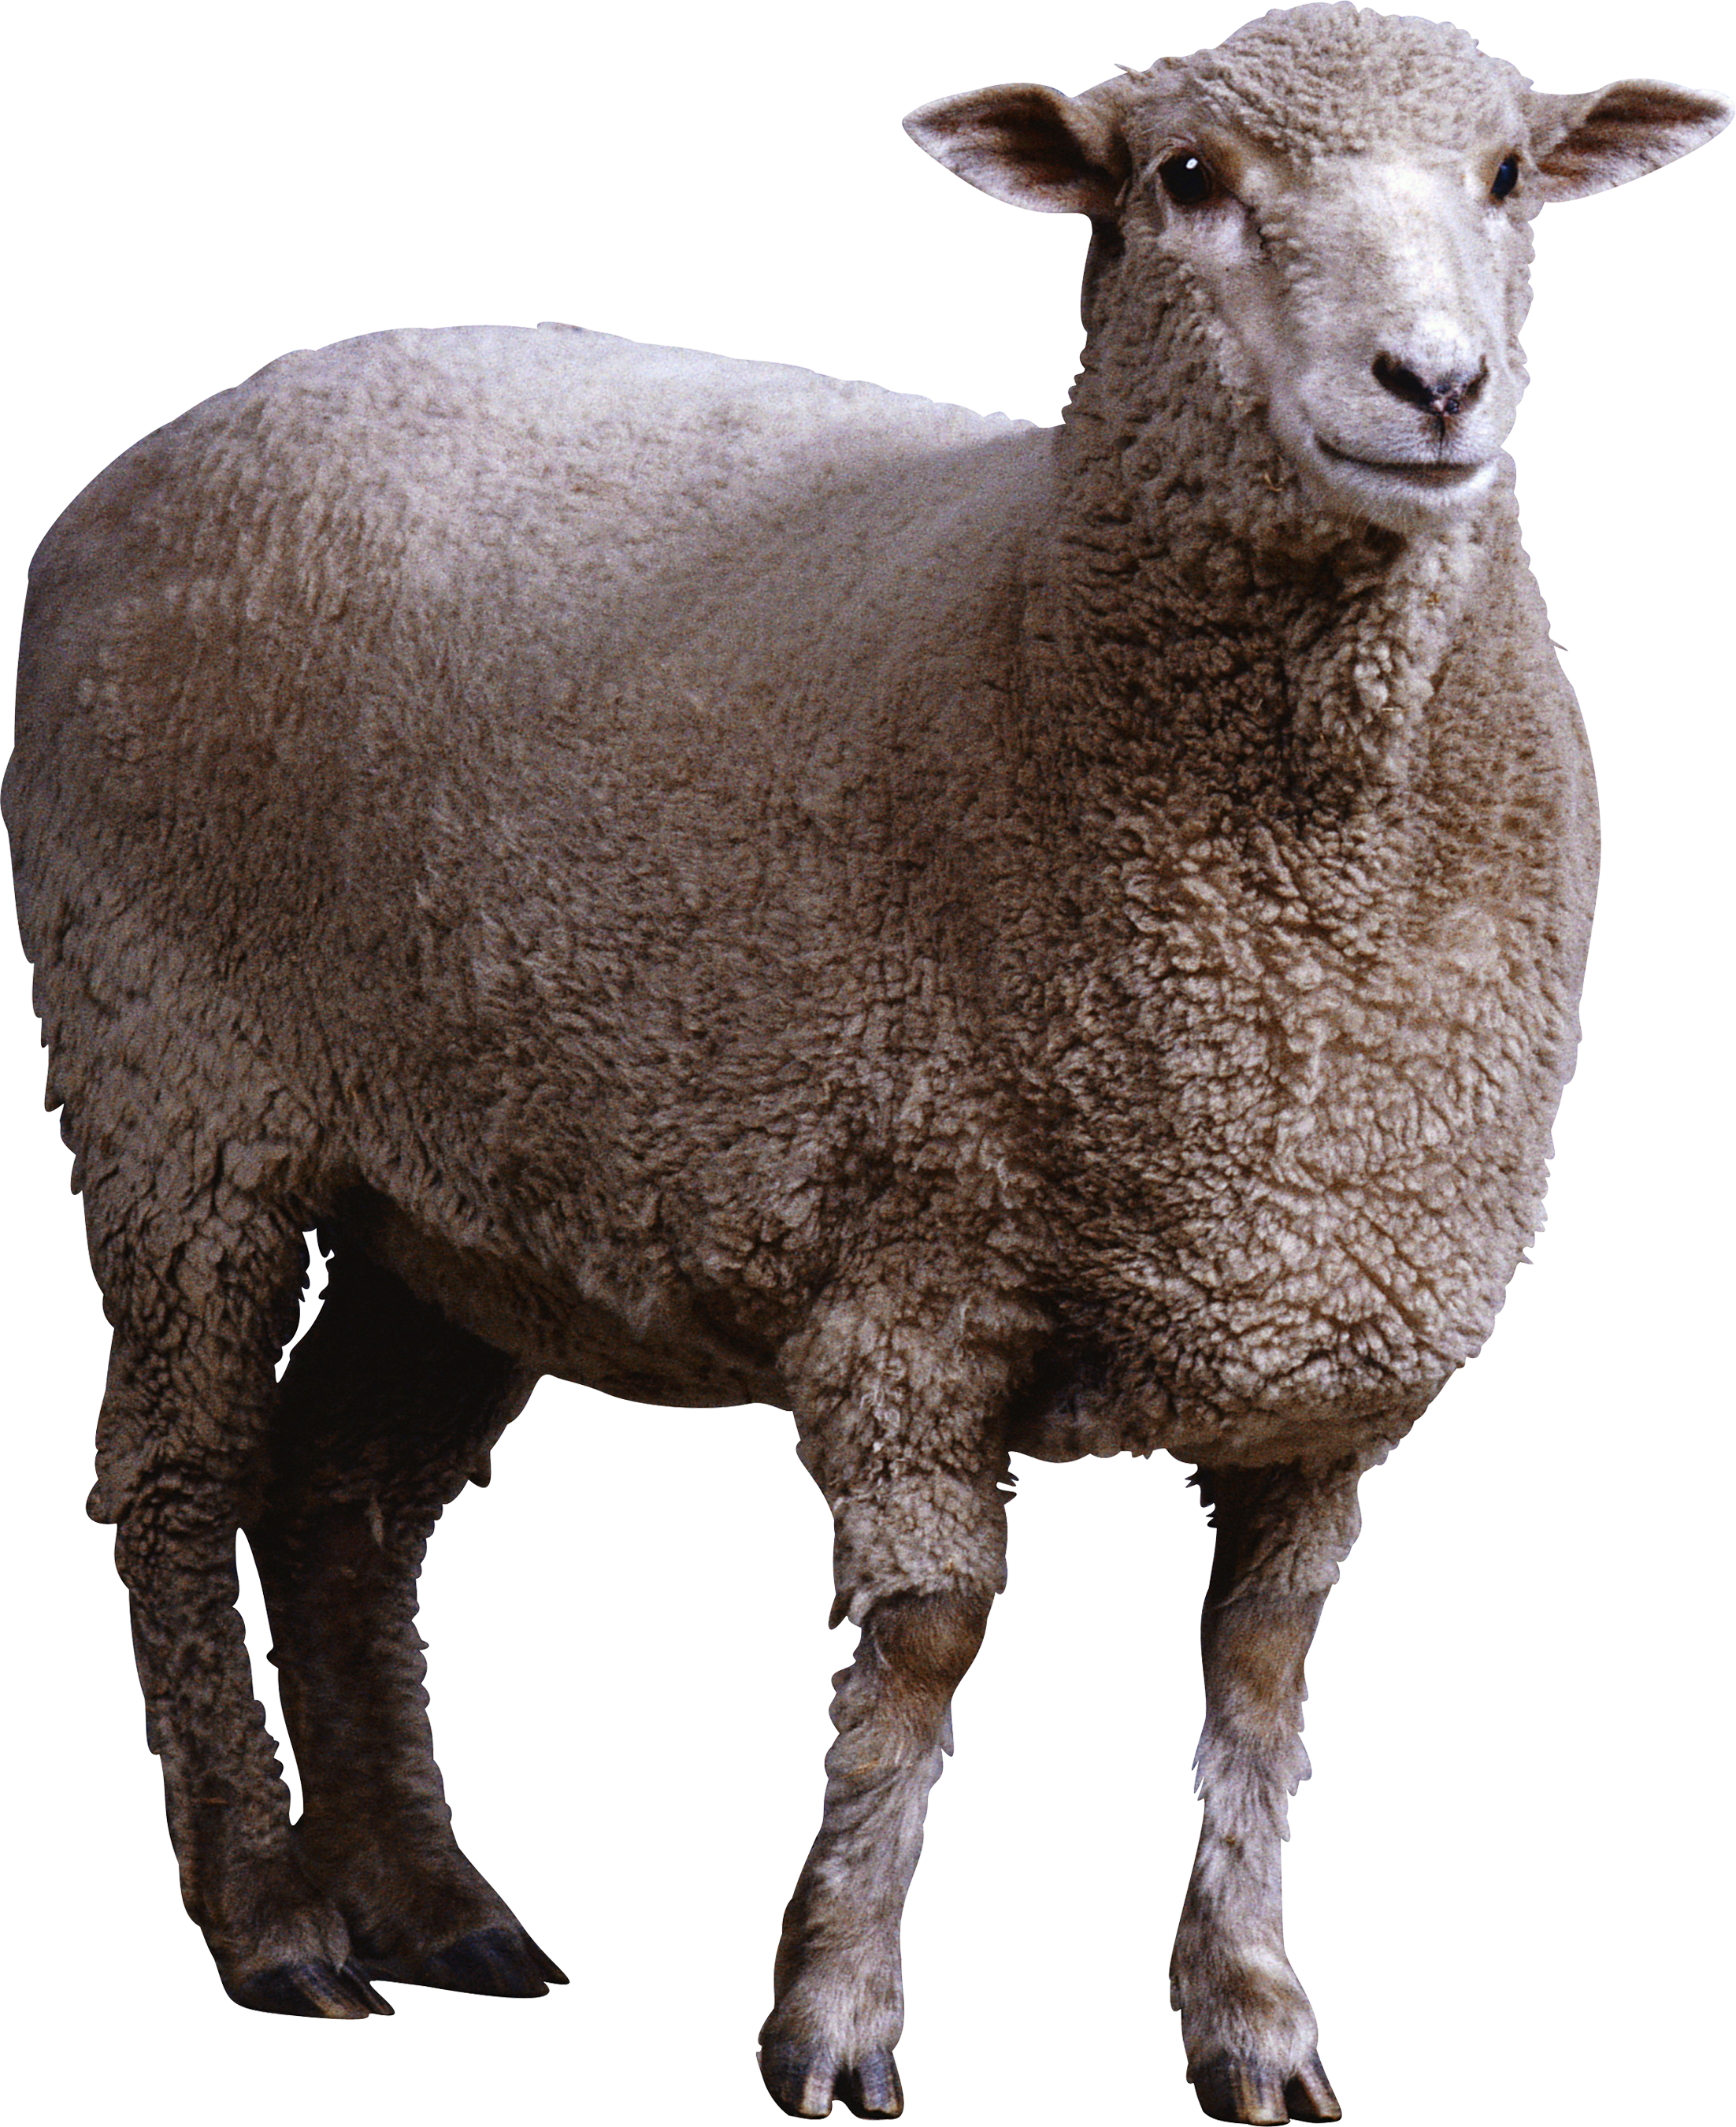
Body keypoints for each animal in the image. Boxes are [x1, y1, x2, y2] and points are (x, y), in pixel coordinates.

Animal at [3, 2, 1725, 2115]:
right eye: (1183, 180)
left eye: (1504, 178)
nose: (1432, 381)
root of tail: (184, 432)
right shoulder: (912, 1273)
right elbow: (925, 1641)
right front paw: (829, 2014)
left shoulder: (1326, 1341)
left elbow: (1261, 1670)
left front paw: (1251, 2016)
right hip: (175, 1088)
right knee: (180, 1474)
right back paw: (275, 1923)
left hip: (465, 1189)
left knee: (347, 1496)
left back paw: (442, 1910)